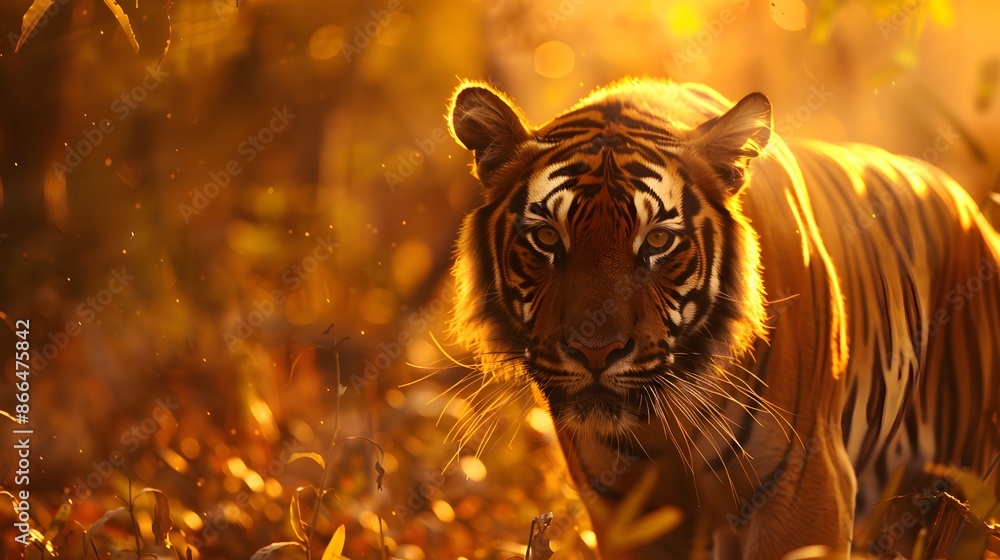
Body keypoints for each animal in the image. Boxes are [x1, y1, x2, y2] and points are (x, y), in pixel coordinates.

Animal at [444, 77, 1000, 559]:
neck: (660, 420)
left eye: (657, 241)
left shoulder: (802, 485)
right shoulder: (629, 510)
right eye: (547, 238)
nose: (595, 352)